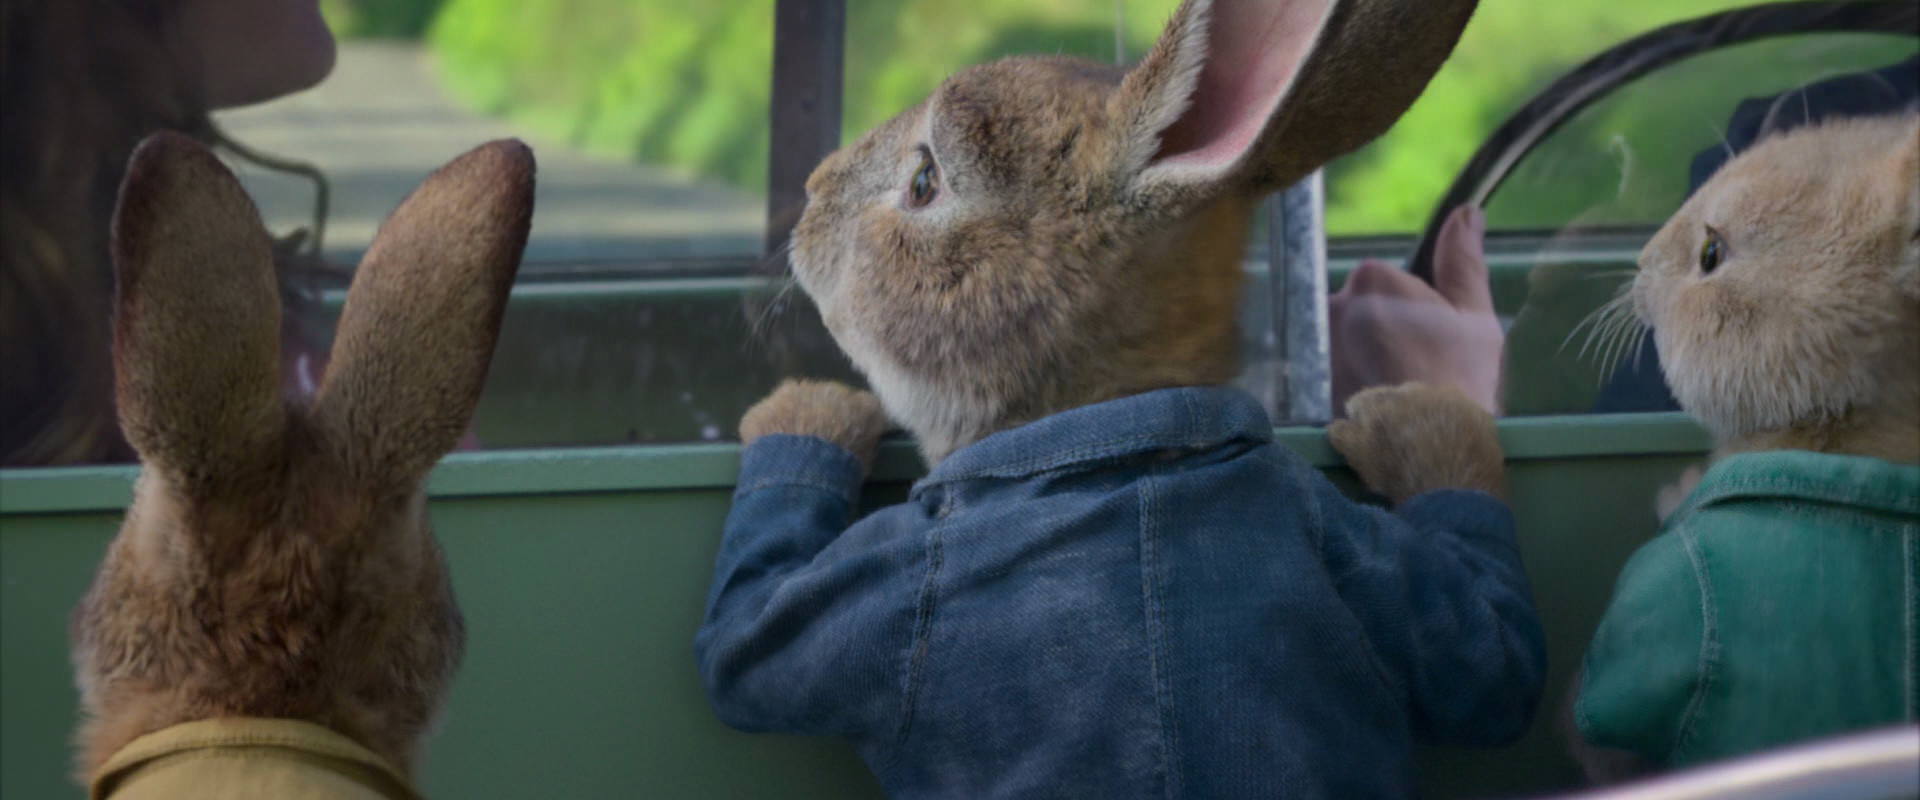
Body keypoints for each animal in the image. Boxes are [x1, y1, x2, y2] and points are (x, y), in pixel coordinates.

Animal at [698, 1, 1549, 797]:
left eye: (923, 182)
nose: (813, 187)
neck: (1113, 420)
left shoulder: (885, 585)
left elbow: (749, 640)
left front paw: (806, 410)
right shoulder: (1353, 545)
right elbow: (1496, 659)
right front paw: (1419, 423)